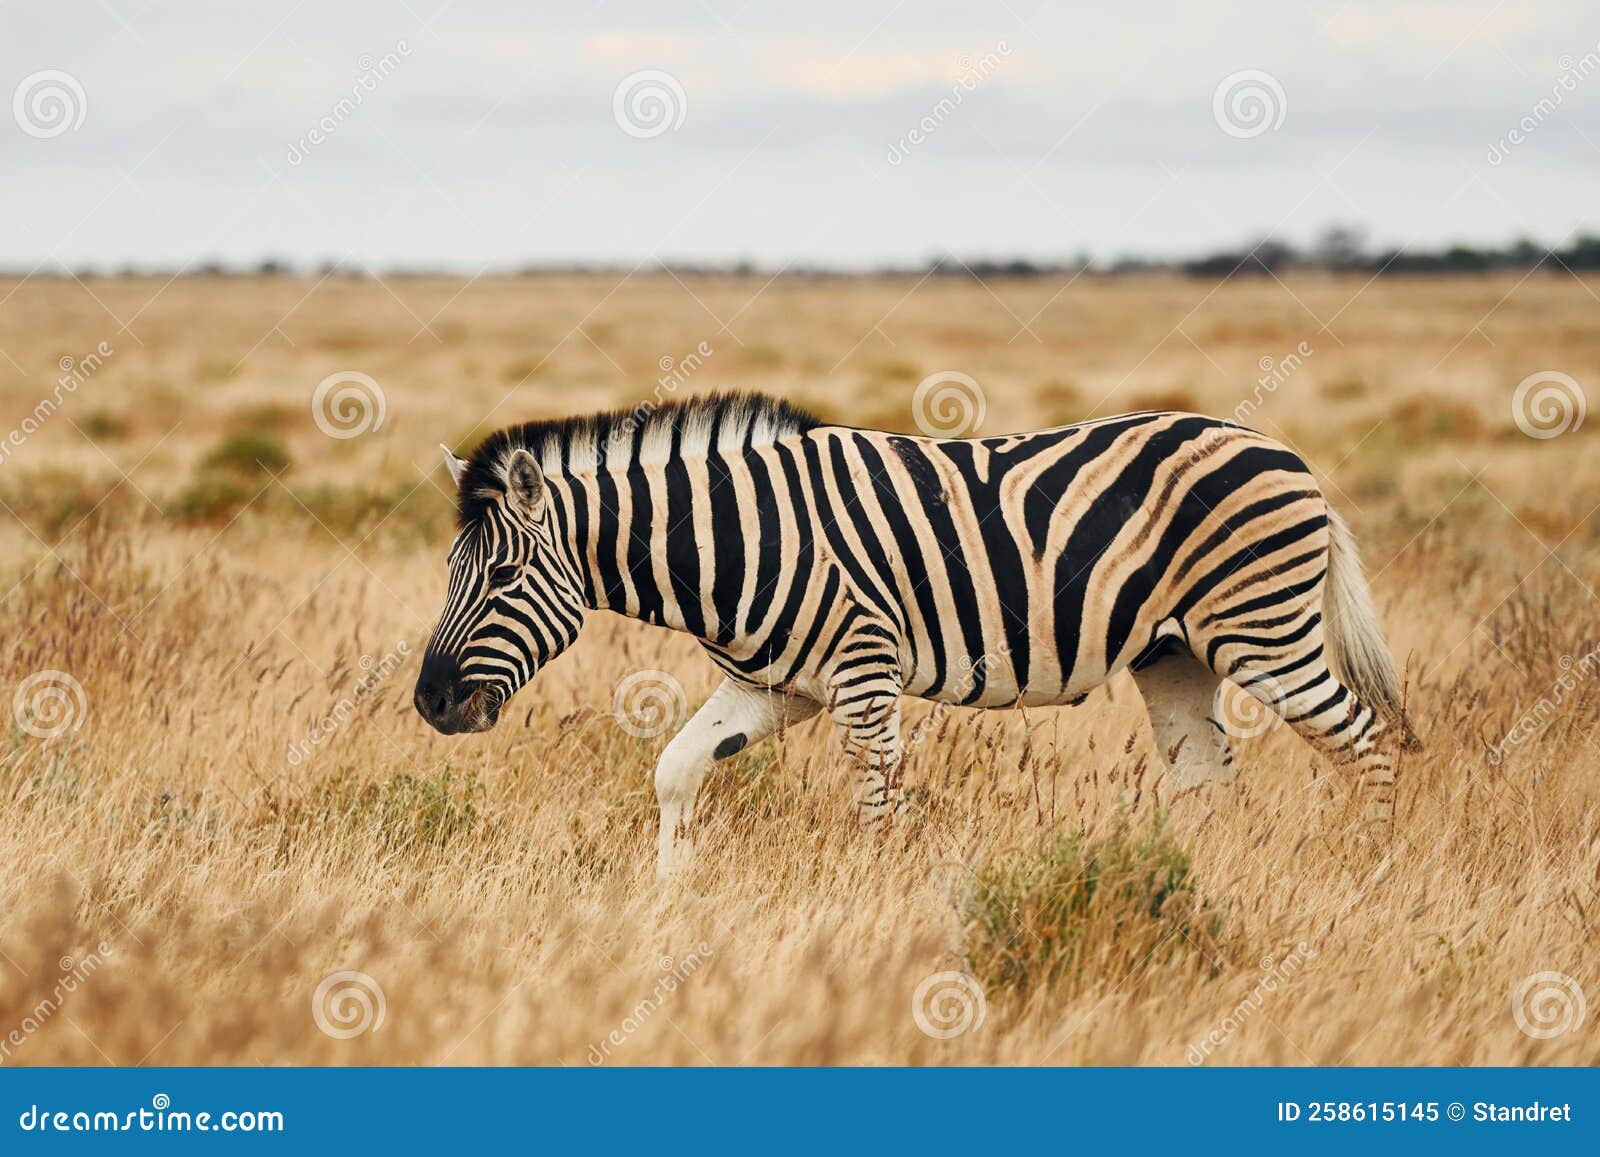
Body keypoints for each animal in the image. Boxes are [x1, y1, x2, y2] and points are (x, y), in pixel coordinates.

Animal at [414, 392, 1412, 877]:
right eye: (451, 576)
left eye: (502, 579)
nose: (429, 702)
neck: (737, 537)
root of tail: (1287, 455)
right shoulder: (773, 685)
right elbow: (676, 767)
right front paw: (668, 895)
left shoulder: (862, 669)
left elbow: (877, 800)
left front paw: (876, 907)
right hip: (1174, 655)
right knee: (1209, 777)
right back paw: (1184, 878)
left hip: (1263, 633)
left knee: (1368, 741)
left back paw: (1372, 868)